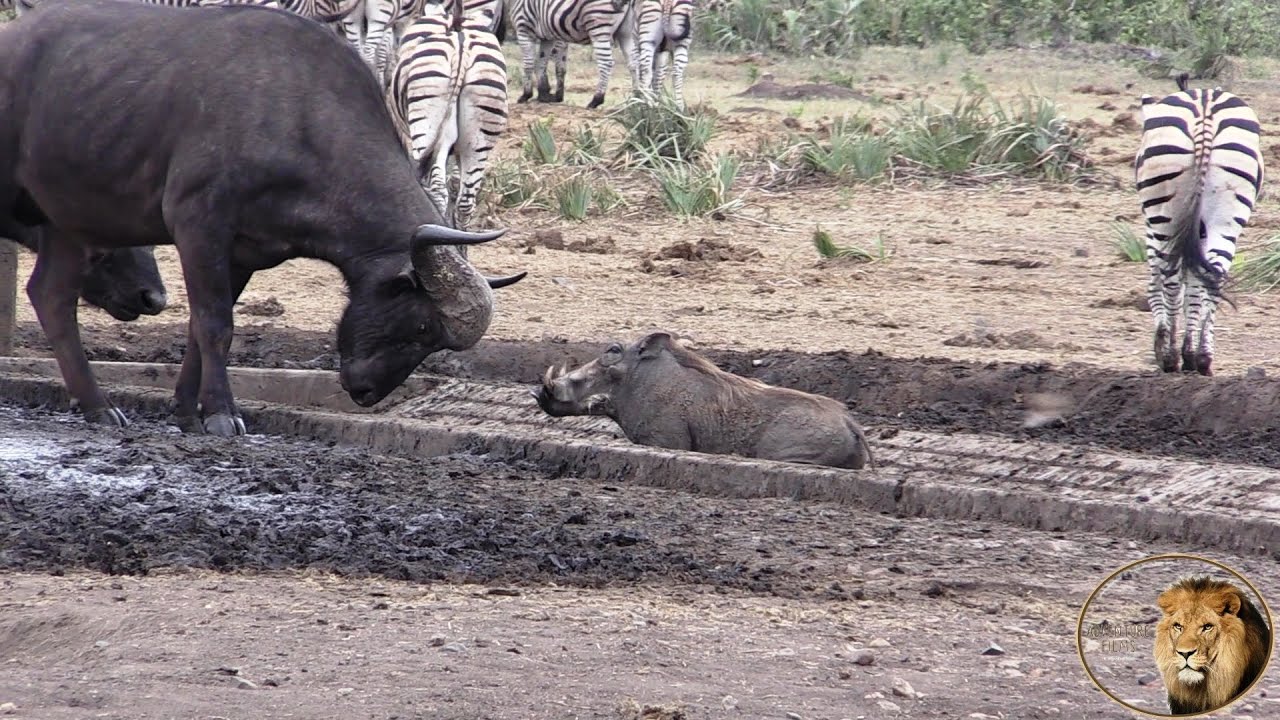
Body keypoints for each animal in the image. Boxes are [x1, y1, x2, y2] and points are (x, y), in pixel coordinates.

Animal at [387, 0, 508, 233]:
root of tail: (458, 32)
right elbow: (455, 184)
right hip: (478, 134)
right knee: (465, 201)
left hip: (427, 127)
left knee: (437, 192)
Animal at [507, 0, 639, 109]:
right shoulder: (547, 37)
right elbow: (543, 64)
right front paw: (545, 94)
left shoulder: (524, 28)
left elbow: (528, 64)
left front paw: (526, 95)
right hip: (626, 32)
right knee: (633, 63)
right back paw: (637, 97)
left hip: (598, 26)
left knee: (606, 63)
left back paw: (596, 100)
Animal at [1134, 73, 1265, 376]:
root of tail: (1205, 108)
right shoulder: (1199, 232)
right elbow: (1195, 286)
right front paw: (1190, 353)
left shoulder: (1152, 229)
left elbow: (1160, 283)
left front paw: (1167, 347)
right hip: (1227, 215)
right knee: (1215, 275)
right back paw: (1204, 358)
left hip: (1163, 214)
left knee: (1171, 279)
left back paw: (1170, 356)